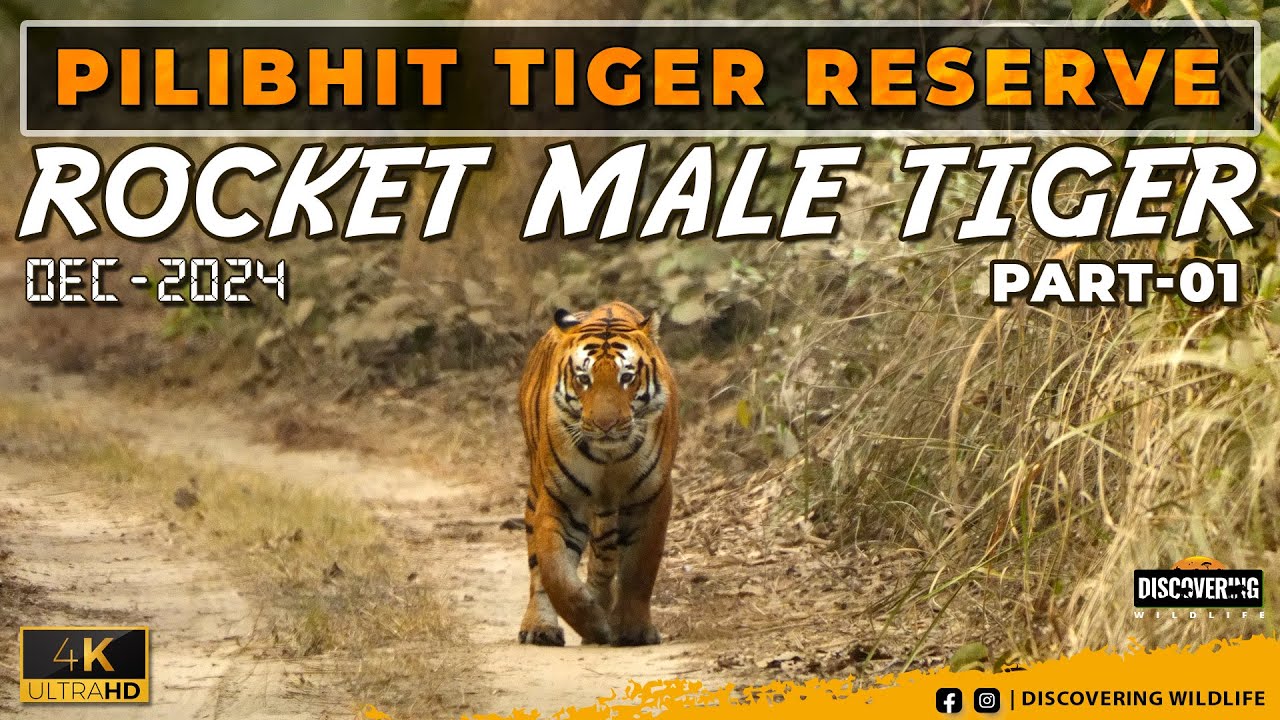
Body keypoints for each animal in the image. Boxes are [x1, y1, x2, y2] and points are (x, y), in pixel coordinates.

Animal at [516, 301, 679, 647]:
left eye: (626, 377)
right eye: (584, 378)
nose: (606, 425)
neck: (609, 458)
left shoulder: (652, 497)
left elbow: (639, 569)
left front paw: (632, 630)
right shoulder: (559, 498)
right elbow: (555, 572)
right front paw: (592, 624)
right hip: (537, 492)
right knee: (537, 566)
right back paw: (540, 627)